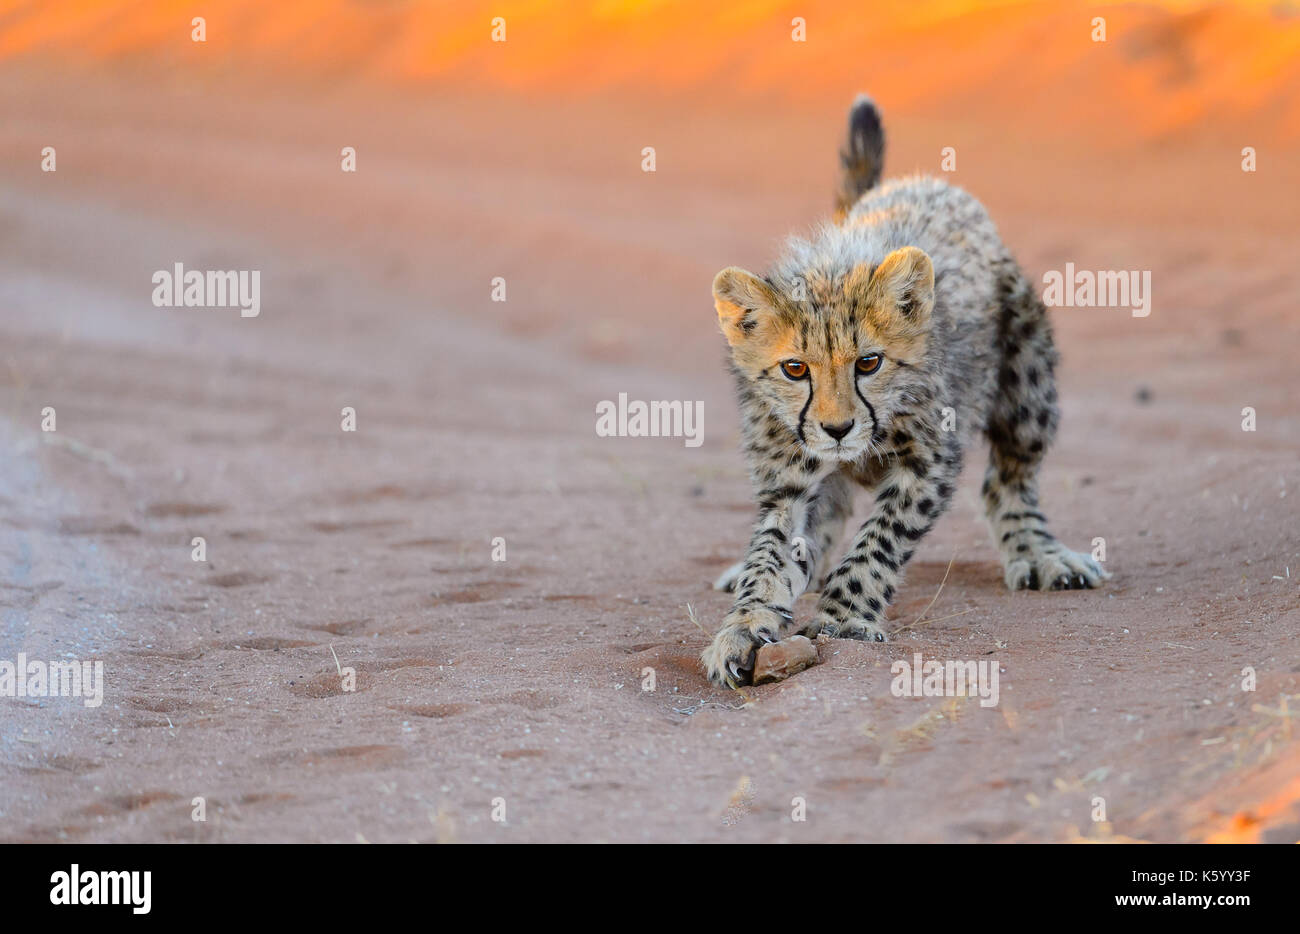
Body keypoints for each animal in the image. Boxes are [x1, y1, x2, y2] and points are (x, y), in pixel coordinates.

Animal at [701, 95, 1108, 688]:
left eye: (868, 363)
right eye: (795, 369)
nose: (838, 429)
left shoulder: (929, 458)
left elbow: (879, 540)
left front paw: (844, 617)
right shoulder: (788, 480)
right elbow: (771, 554)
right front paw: (742, 627)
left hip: (1026, 378)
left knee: (1008, 482)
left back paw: (1040, 553)